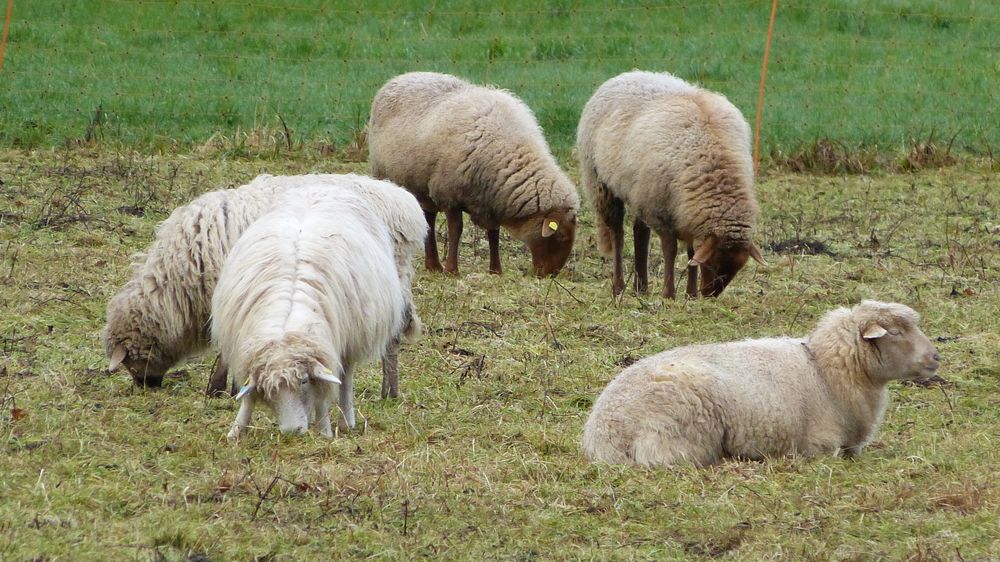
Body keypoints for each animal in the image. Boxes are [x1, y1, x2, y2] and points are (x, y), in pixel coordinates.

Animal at [102, 173, 425, 399]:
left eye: (130, 362)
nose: (146, 387)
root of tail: (406, 207)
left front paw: (219, 388)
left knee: (392, 336)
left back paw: (388, 392)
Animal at [216, 187, 406, 439]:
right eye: (269, 389)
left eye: (304, 381)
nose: (291, 431)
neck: (286, 323)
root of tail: (321, 188)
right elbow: (248, 395)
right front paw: (236, 431)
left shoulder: (326, 347)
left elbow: (323, 393)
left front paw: (325, 431)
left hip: (351, 338)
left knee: (345, 380)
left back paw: (346, 420)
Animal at [368, 71, 580, 277]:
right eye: (561, 236)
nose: (551, 275)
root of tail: (398, 78)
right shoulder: (449, 195)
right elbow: (456, 230)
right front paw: (452, 270)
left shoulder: (492, 199)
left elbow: (493, 234)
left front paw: (496, 270)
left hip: (423, 187)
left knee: (428, 217)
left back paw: (433, 265)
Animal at [576, 70, 766, 298]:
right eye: (713, 262)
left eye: (737, 268)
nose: (709, 295)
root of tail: (628, 74)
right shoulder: (660, 212)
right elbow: (670, 249)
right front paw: (669, 294)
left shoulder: (687, 212)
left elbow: (692, 252)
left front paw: (690, 294)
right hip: (603, 185)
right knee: (618, 236)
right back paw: (618, 287)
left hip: (640, 192)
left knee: (640, 232)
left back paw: (641, 287)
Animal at [581, 301, 941, 467]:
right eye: (896, 332)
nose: (935, 357)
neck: (825, 370)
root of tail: (603, 435)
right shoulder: (821, 447)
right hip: (678, 432)